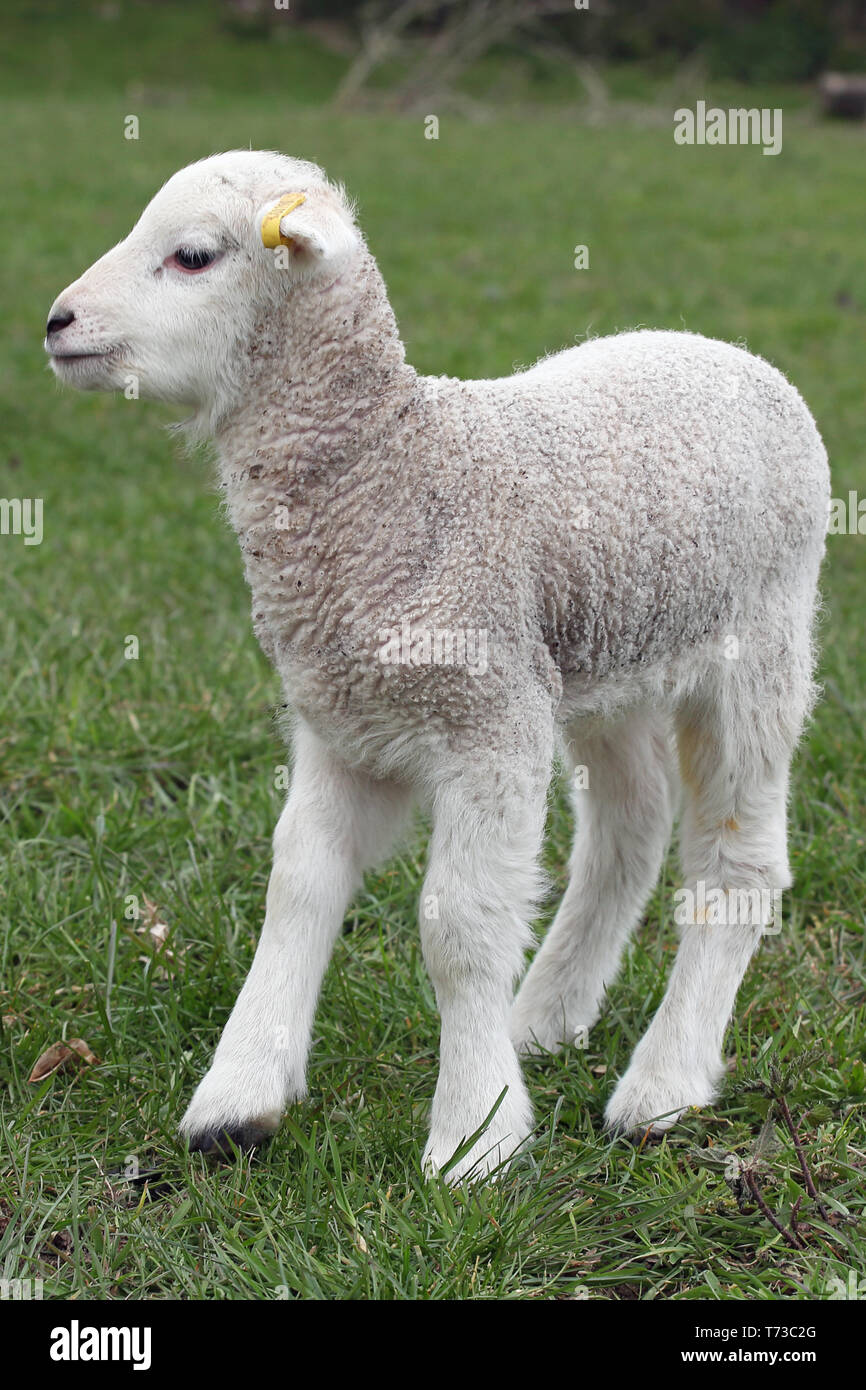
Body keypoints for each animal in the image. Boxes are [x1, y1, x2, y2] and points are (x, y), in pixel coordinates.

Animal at [45, 150, 829, 1182]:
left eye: (194, 255)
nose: (57, 322)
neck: (401, 473)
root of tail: (733, 353)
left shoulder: (486, 722)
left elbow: (458, 928)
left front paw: (475, 1136)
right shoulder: (342, 721)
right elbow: (298, 886)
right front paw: (239, 1097)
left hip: (758, 647)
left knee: (737, 860)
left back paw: (663, 1081)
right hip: (600, 659)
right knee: (630, 824)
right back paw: (543, 1017)